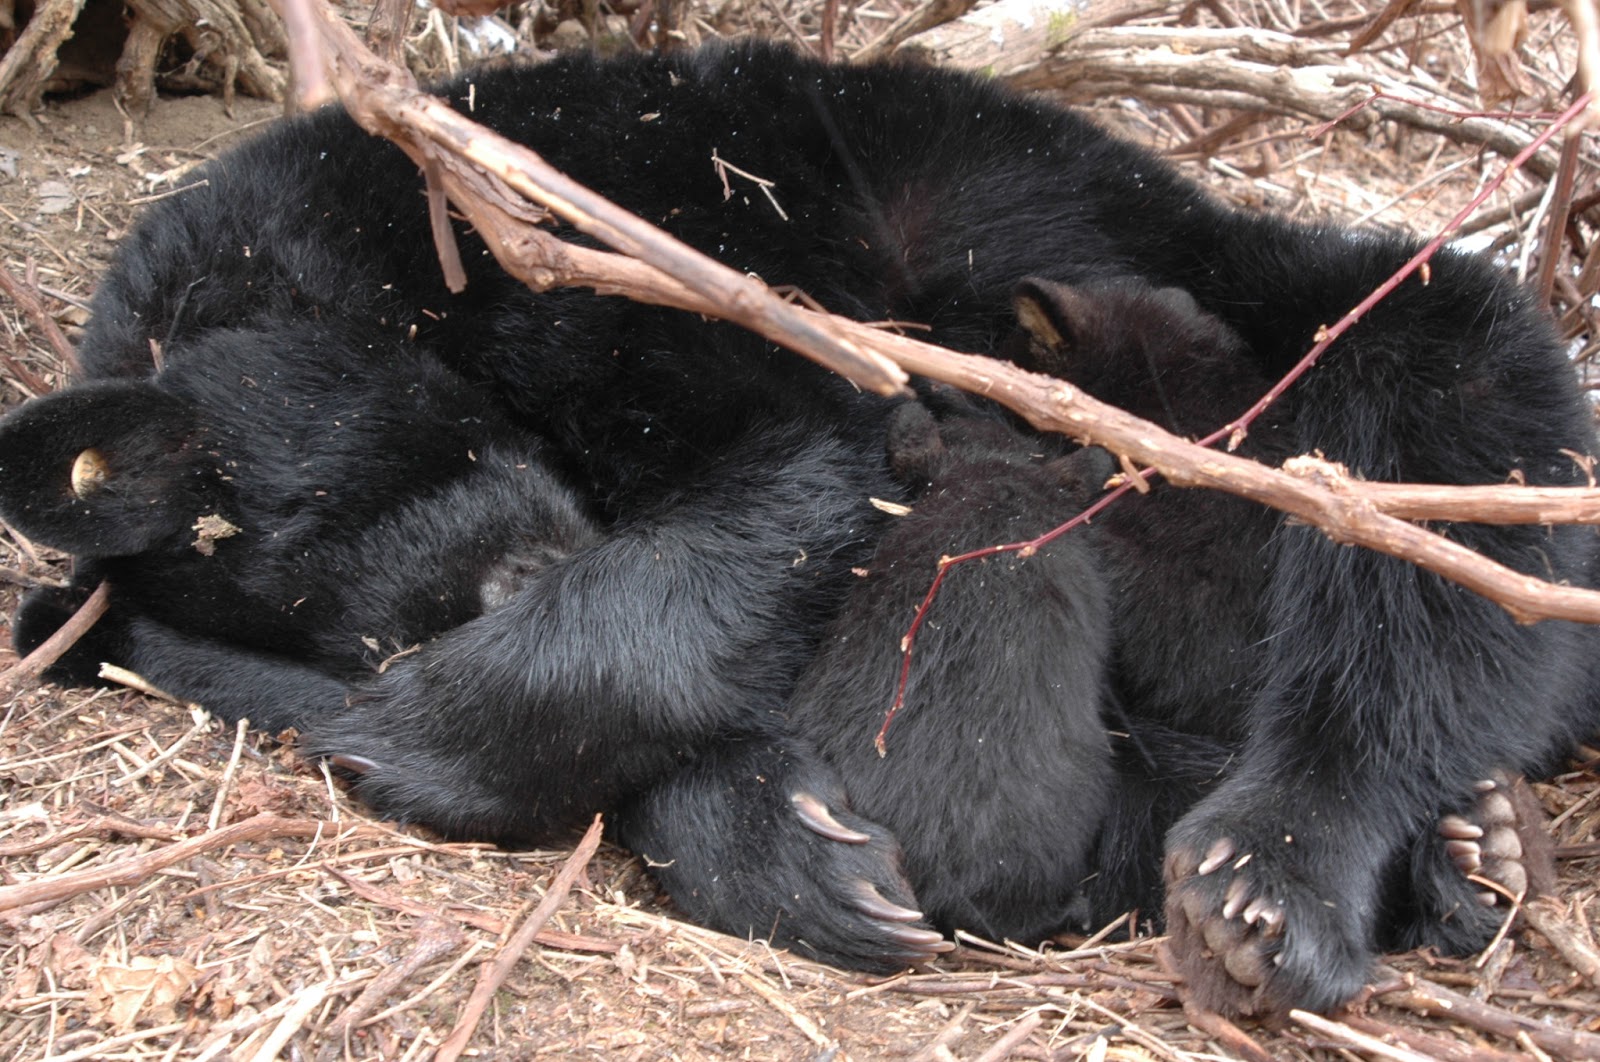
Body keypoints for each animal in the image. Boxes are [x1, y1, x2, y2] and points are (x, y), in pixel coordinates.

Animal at [1, 41, 1595, 1015]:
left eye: (402, 465)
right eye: (345, 614)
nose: (513, 582)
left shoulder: (603, 258)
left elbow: (802, 455)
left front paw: (432, 732)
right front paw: (802, 842)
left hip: (1266, 307)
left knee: (1451, 403)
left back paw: (1285, 870)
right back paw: (1467, 846)